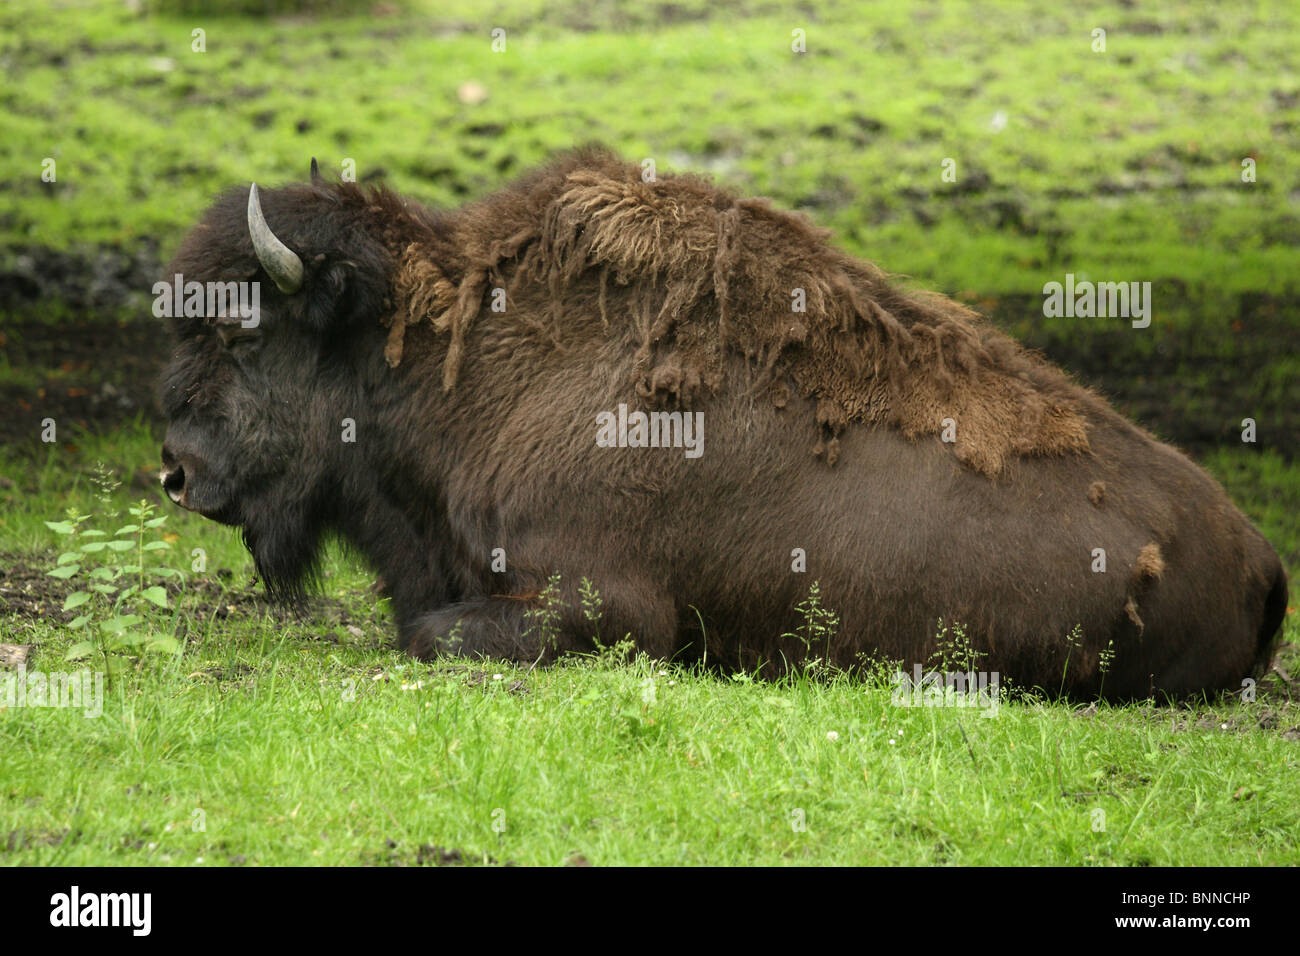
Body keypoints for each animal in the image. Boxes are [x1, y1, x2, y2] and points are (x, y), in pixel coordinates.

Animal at [158, 147, 1287, 699]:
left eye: (244, 333)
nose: (174, 469)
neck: (465, 366)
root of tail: (1264, 557)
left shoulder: (603, 603)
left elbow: (433, 635)